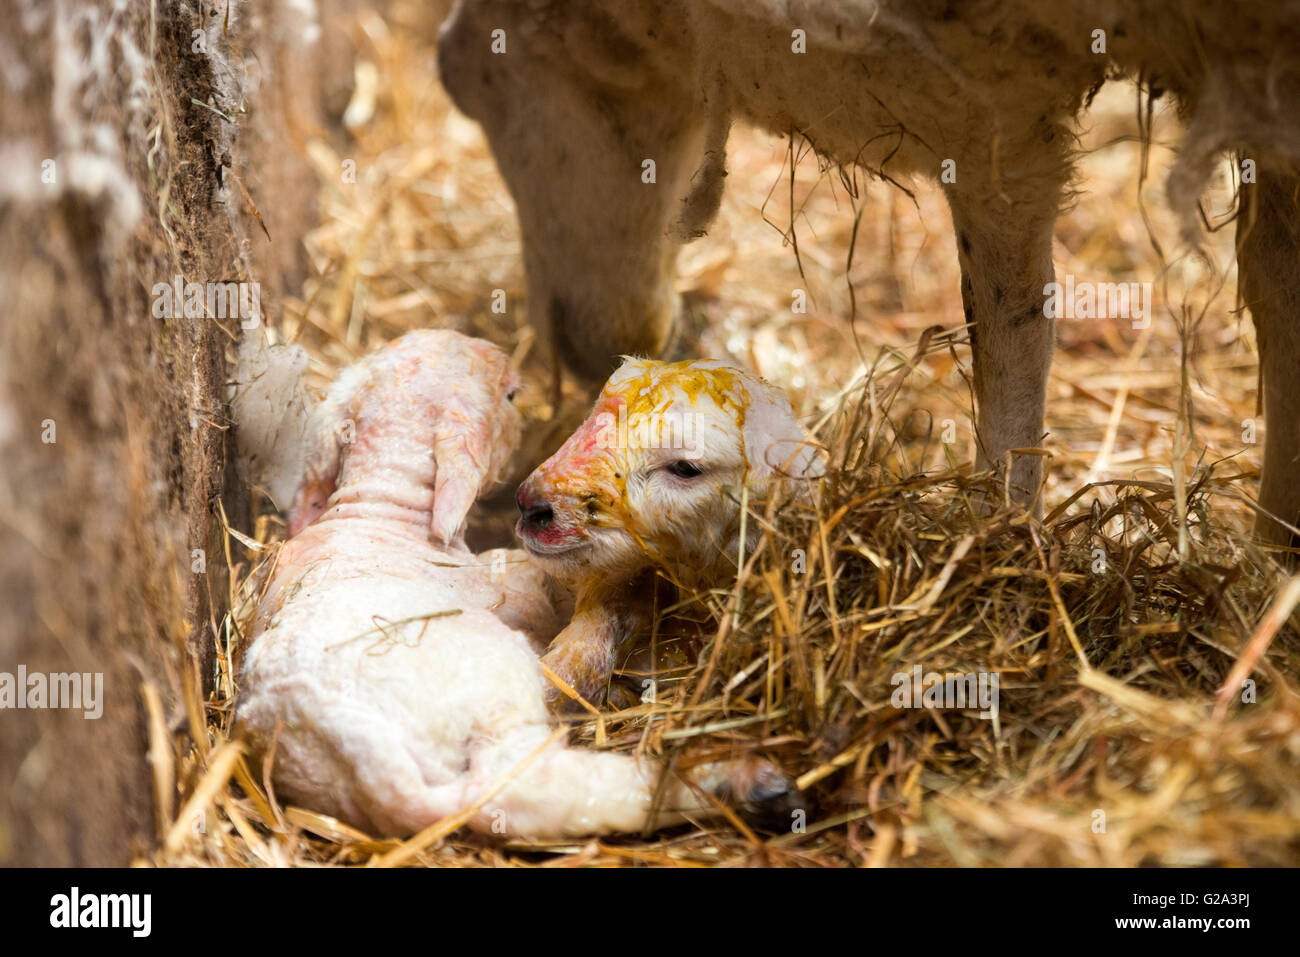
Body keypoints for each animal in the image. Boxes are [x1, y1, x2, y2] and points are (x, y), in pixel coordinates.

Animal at [236, 330, 790, 839]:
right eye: (509, 396)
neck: (379, 504)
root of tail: (359, 753)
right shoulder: (517, 587)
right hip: (498, 695)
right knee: (533, 786)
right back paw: (741, 782)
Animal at [438, 0, 1300, 548]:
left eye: (468, 84)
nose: (577, 352)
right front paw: (1275, 551)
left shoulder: (989, 82)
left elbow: (1010, 315)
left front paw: (1001, 534)